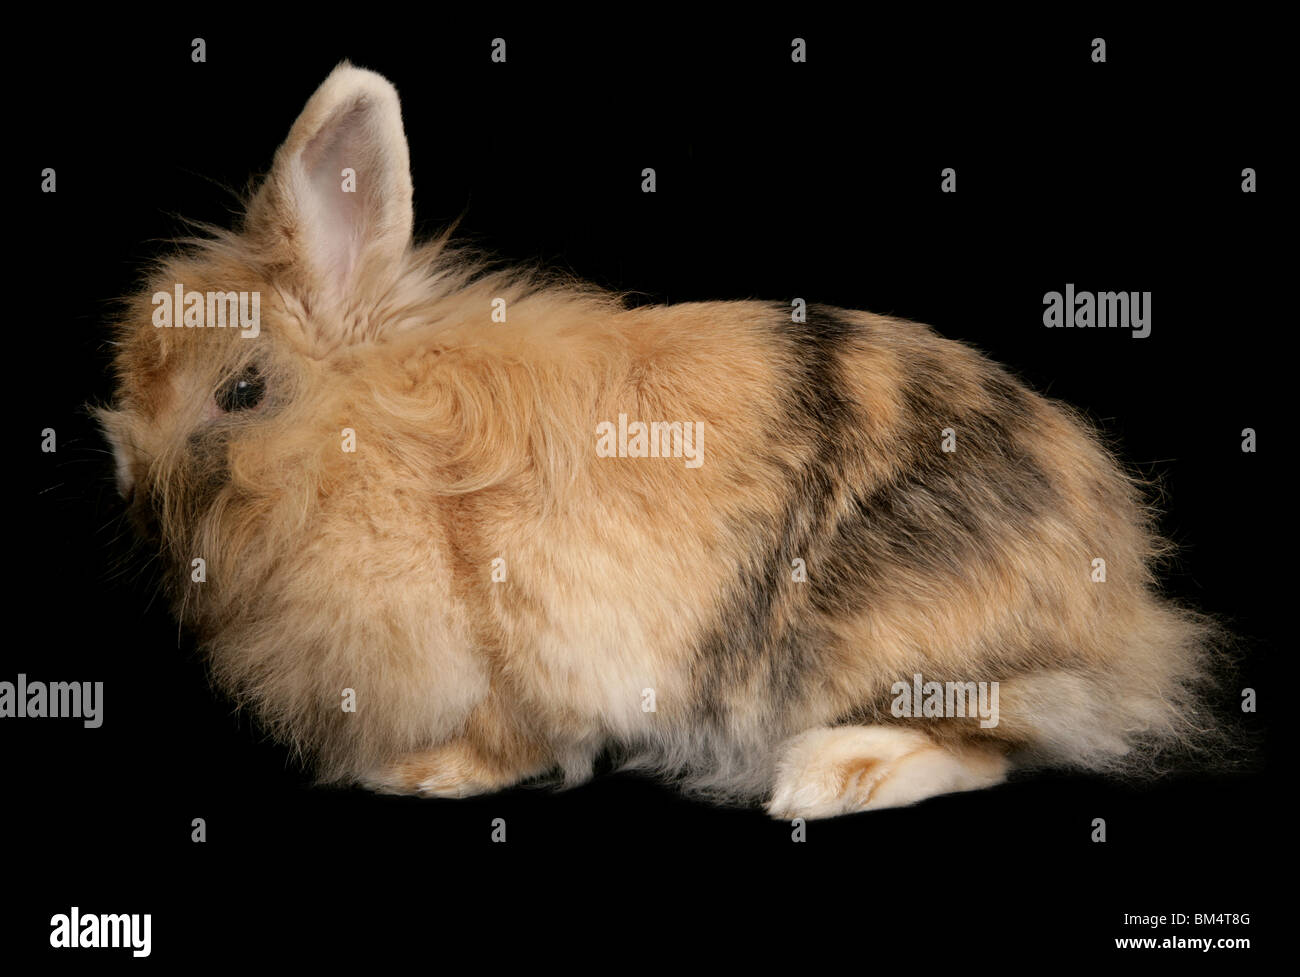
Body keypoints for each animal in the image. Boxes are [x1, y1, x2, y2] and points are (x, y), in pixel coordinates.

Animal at [97, 63, 1225, 819]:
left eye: (242, 389)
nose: (125, 486)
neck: (372, 442)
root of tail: (1126, 612)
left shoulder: (527, 649)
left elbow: (515, 733)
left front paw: (419, 774)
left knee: (992, 745)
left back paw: (827, 778)